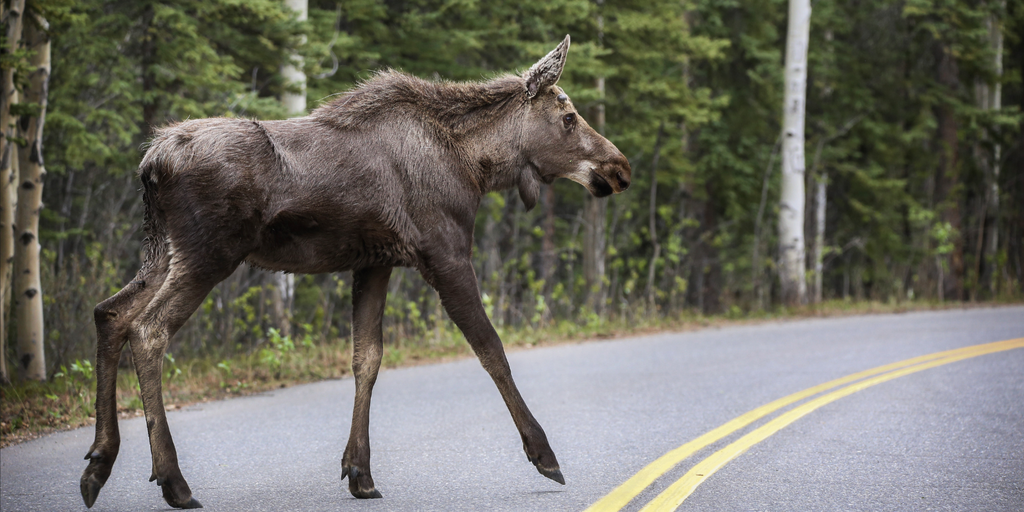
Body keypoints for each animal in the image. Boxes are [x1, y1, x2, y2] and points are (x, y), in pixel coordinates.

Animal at [80, 35, 630, 509]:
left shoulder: (375, 262)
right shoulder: (445, 253)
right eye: (568, 116)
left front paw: (359, 472)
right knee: (148, 329)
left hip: (162, 252)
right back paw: (173, 480)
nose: (620, 168)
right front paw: (544, 455)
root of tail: (150, 164)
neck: (477, 165)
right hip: (206, 254)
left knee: (110, 312)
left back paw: (98, 464)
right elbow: (491, 349)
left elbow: (367, 358)